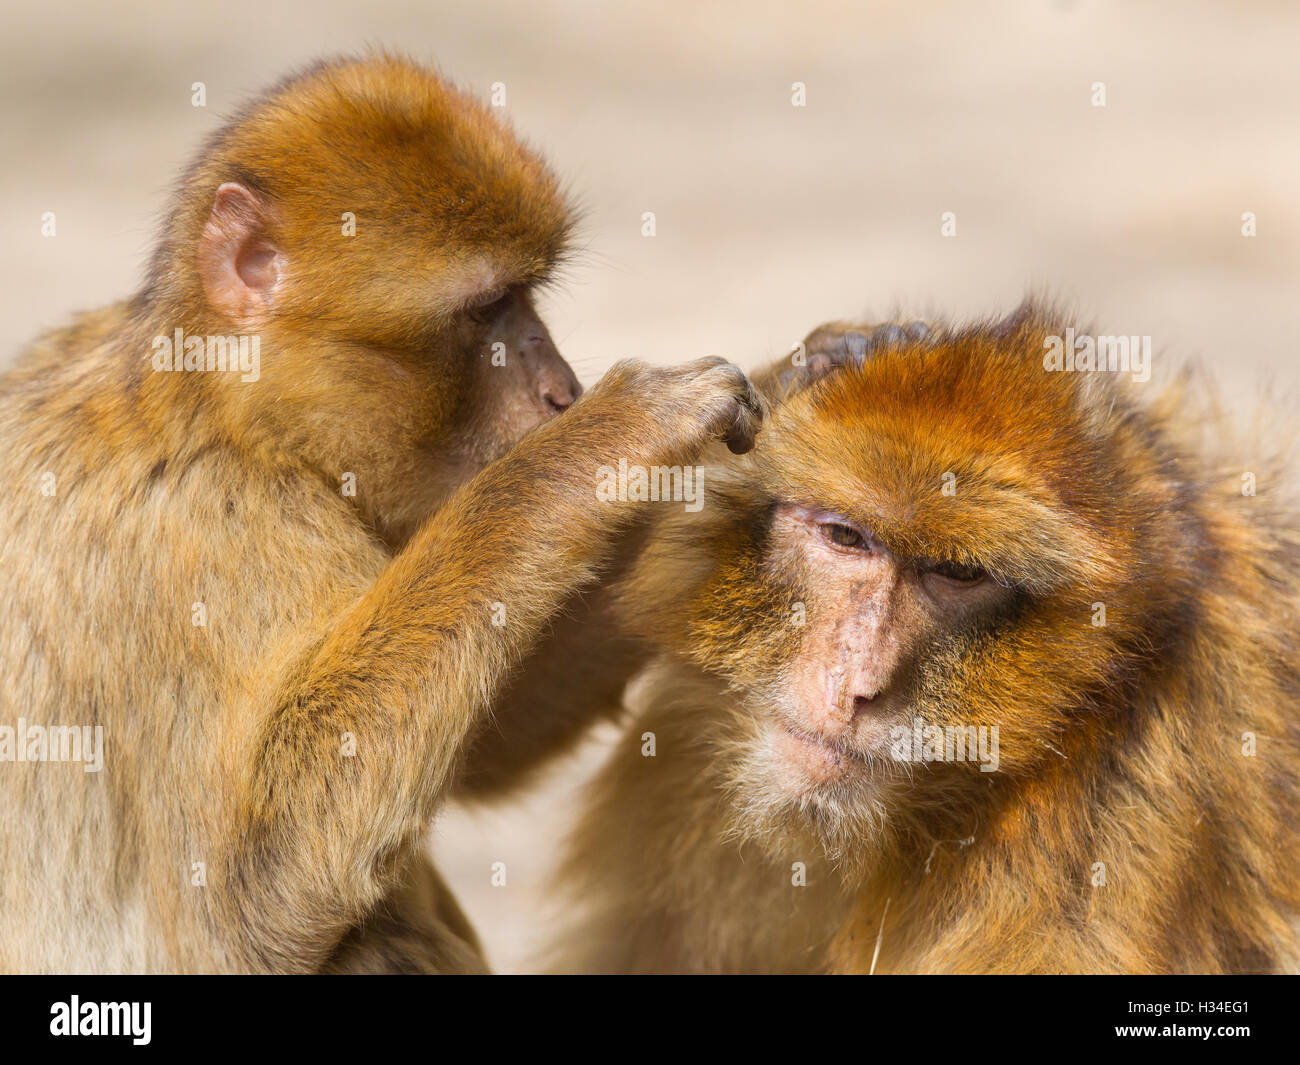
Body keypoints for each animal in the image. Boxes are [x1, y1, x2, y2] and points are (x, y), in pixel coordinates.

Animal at [0, 53, 762, 974]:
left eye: (528, 295)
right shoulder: (199, 535)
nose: (563, 391)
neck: (228, 414)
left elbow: (489, 734)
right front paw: (602, 442)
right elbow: (251, 892)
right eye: (488, 308)